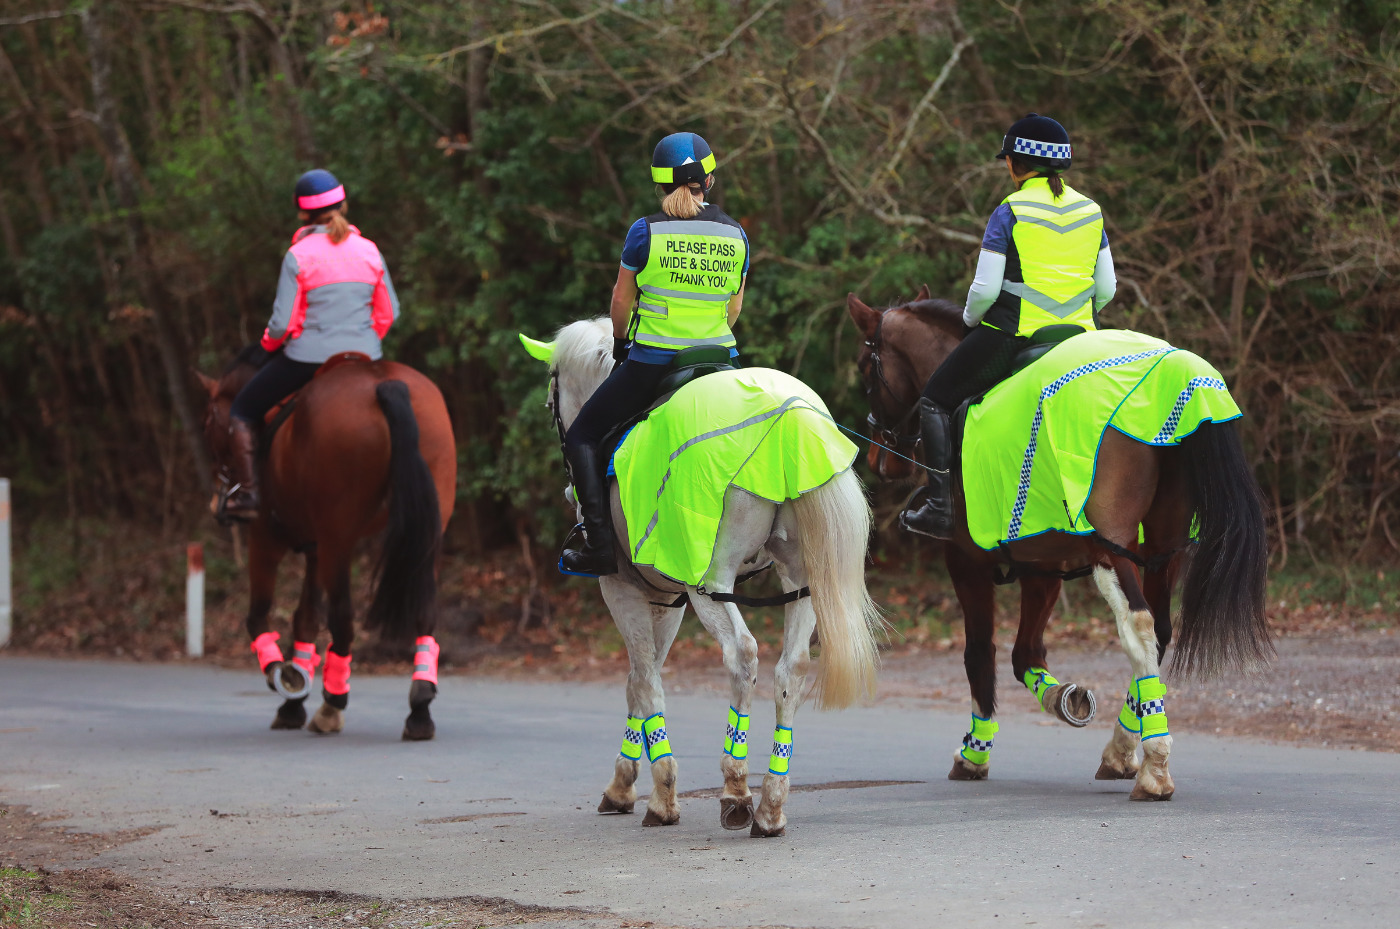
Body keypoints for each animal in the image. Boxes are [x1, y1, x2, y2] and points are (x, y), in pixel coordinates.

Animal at [197, 349, 457, 739]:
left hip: (338, 540)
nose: (218, 501)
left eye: (210, 423)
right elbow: (305, 619)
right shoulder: (316, 549)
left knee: (343, 619)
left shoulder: (267, 541)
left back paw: (332, 706)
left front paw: (284, 676)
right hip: (426, 534)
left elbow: (259, 616)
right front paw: (293, 702)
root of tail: (385, 383)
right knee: (424, 613)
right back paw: (419, 710)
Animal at [522, 319, 882, 837]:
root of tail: (789, 415)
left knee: (742, 655)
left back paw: (736, 789)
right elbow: (640, 678)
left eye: (553, 400)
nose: (570, 484)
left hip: (712, 582)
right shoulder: (665, 596)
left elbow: (643, 680)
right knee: (791, 669)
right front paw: (627, 784)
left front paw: (658, 794)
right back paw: (771, 805)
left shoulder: (623, 588)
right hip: (799, 580)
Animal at [847, 290, 1271, 800]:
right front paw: (1063, 697)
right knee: (1160, 632)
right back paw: (1123, 749)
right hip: (1162, 550)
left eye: (867, 368)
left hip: (1112, 550)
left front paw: (974, 753)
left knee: (1139, 627)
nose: (880, 458)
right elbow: (1025, 654)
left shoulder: (966, 561)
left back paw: (1154, 768)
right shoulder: (1042, 566)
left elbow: (980, 654)